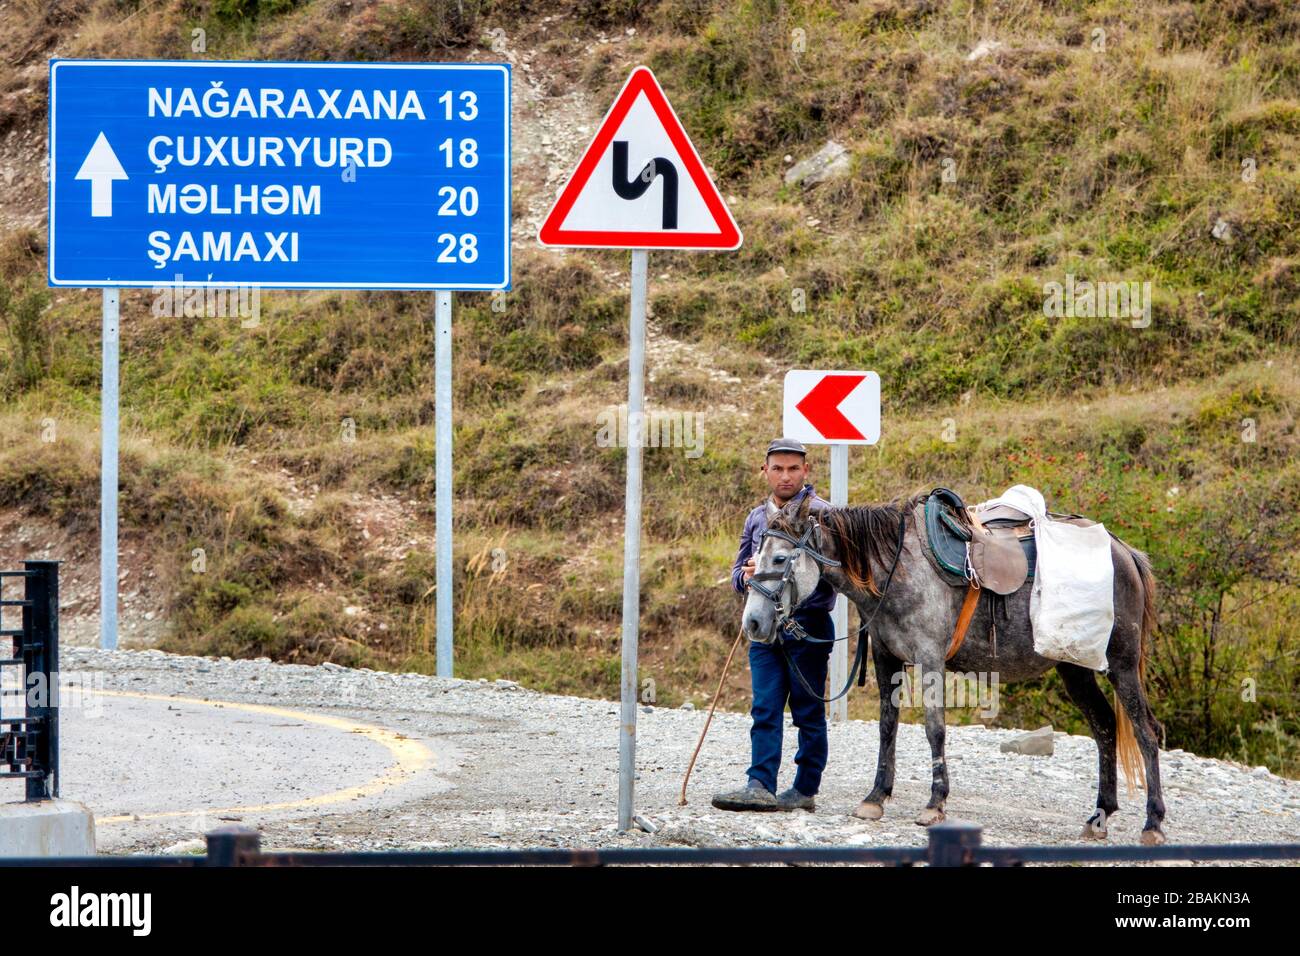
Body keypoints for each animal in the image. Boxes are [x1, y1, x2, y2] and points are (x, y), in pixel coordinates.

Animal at [740, 491, 1167, 845]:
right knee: (1104, 726)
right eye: (753, 558)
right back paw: (1099, 816)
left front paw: (935, 803)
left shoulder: (930, 658)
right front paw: (876, 797)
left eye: (780, 558)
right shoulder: (886, 659)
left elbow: (935, 729)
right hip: (1073, 667)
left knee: (1146, 732)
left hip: (1122, 664)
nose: (754, 623)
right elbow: (887, 727)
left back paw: (1153, 823)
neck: (898, 566)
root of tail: (1125, 552)